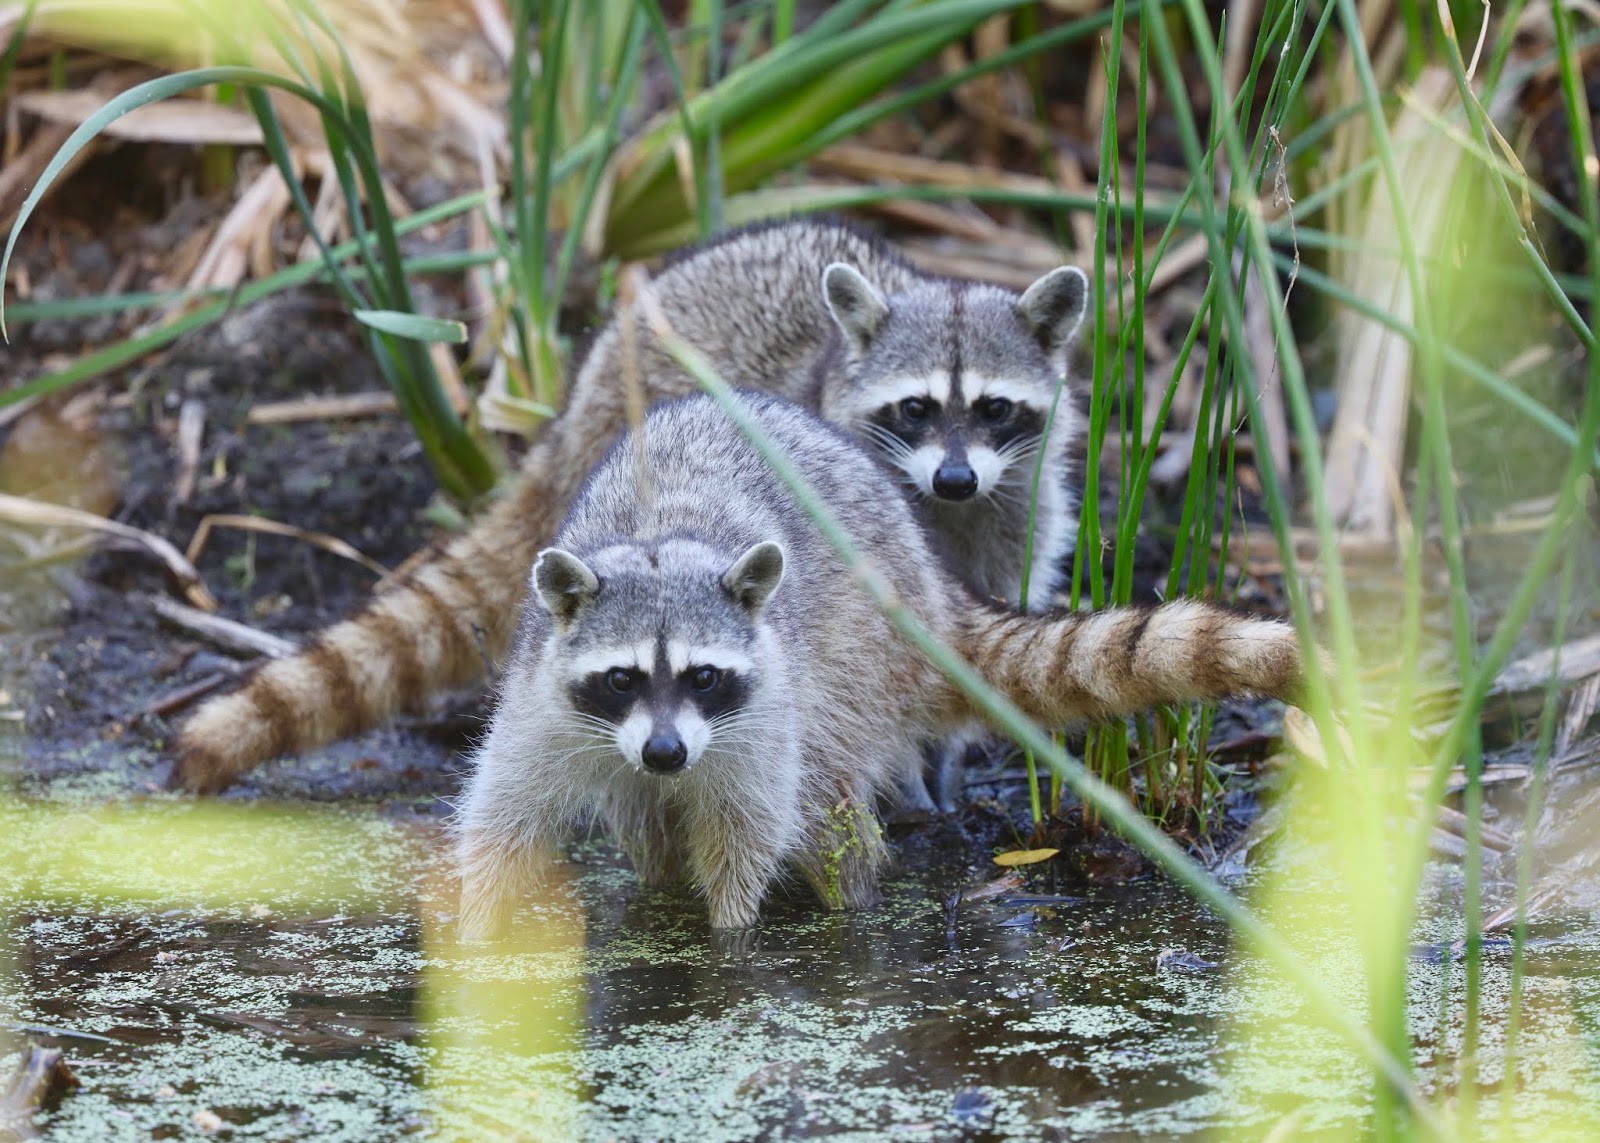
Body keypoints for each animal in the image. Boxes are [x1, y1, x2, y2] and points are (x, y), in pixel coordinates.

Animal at [175, 218, 1088, 793]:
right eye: (916, 408)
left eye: (996, 408)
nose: (955, 478)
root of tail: (575, 404)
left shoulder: (1020, 494)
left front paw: (946, 748)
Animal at [455, 392, 1312, 935]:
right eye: (622, 678)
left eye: (702, 675)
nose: (666, 752)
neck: (660, 540)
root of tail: (923, 575)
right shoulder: (543, 697)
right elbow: (501, 820)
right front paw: (476, 940)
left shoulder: (760, 712)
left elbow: (749, 829)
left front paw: (731, 937)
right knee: (645, 825)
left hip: (856, 659)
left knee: (828, 801)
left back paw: (851, 898)